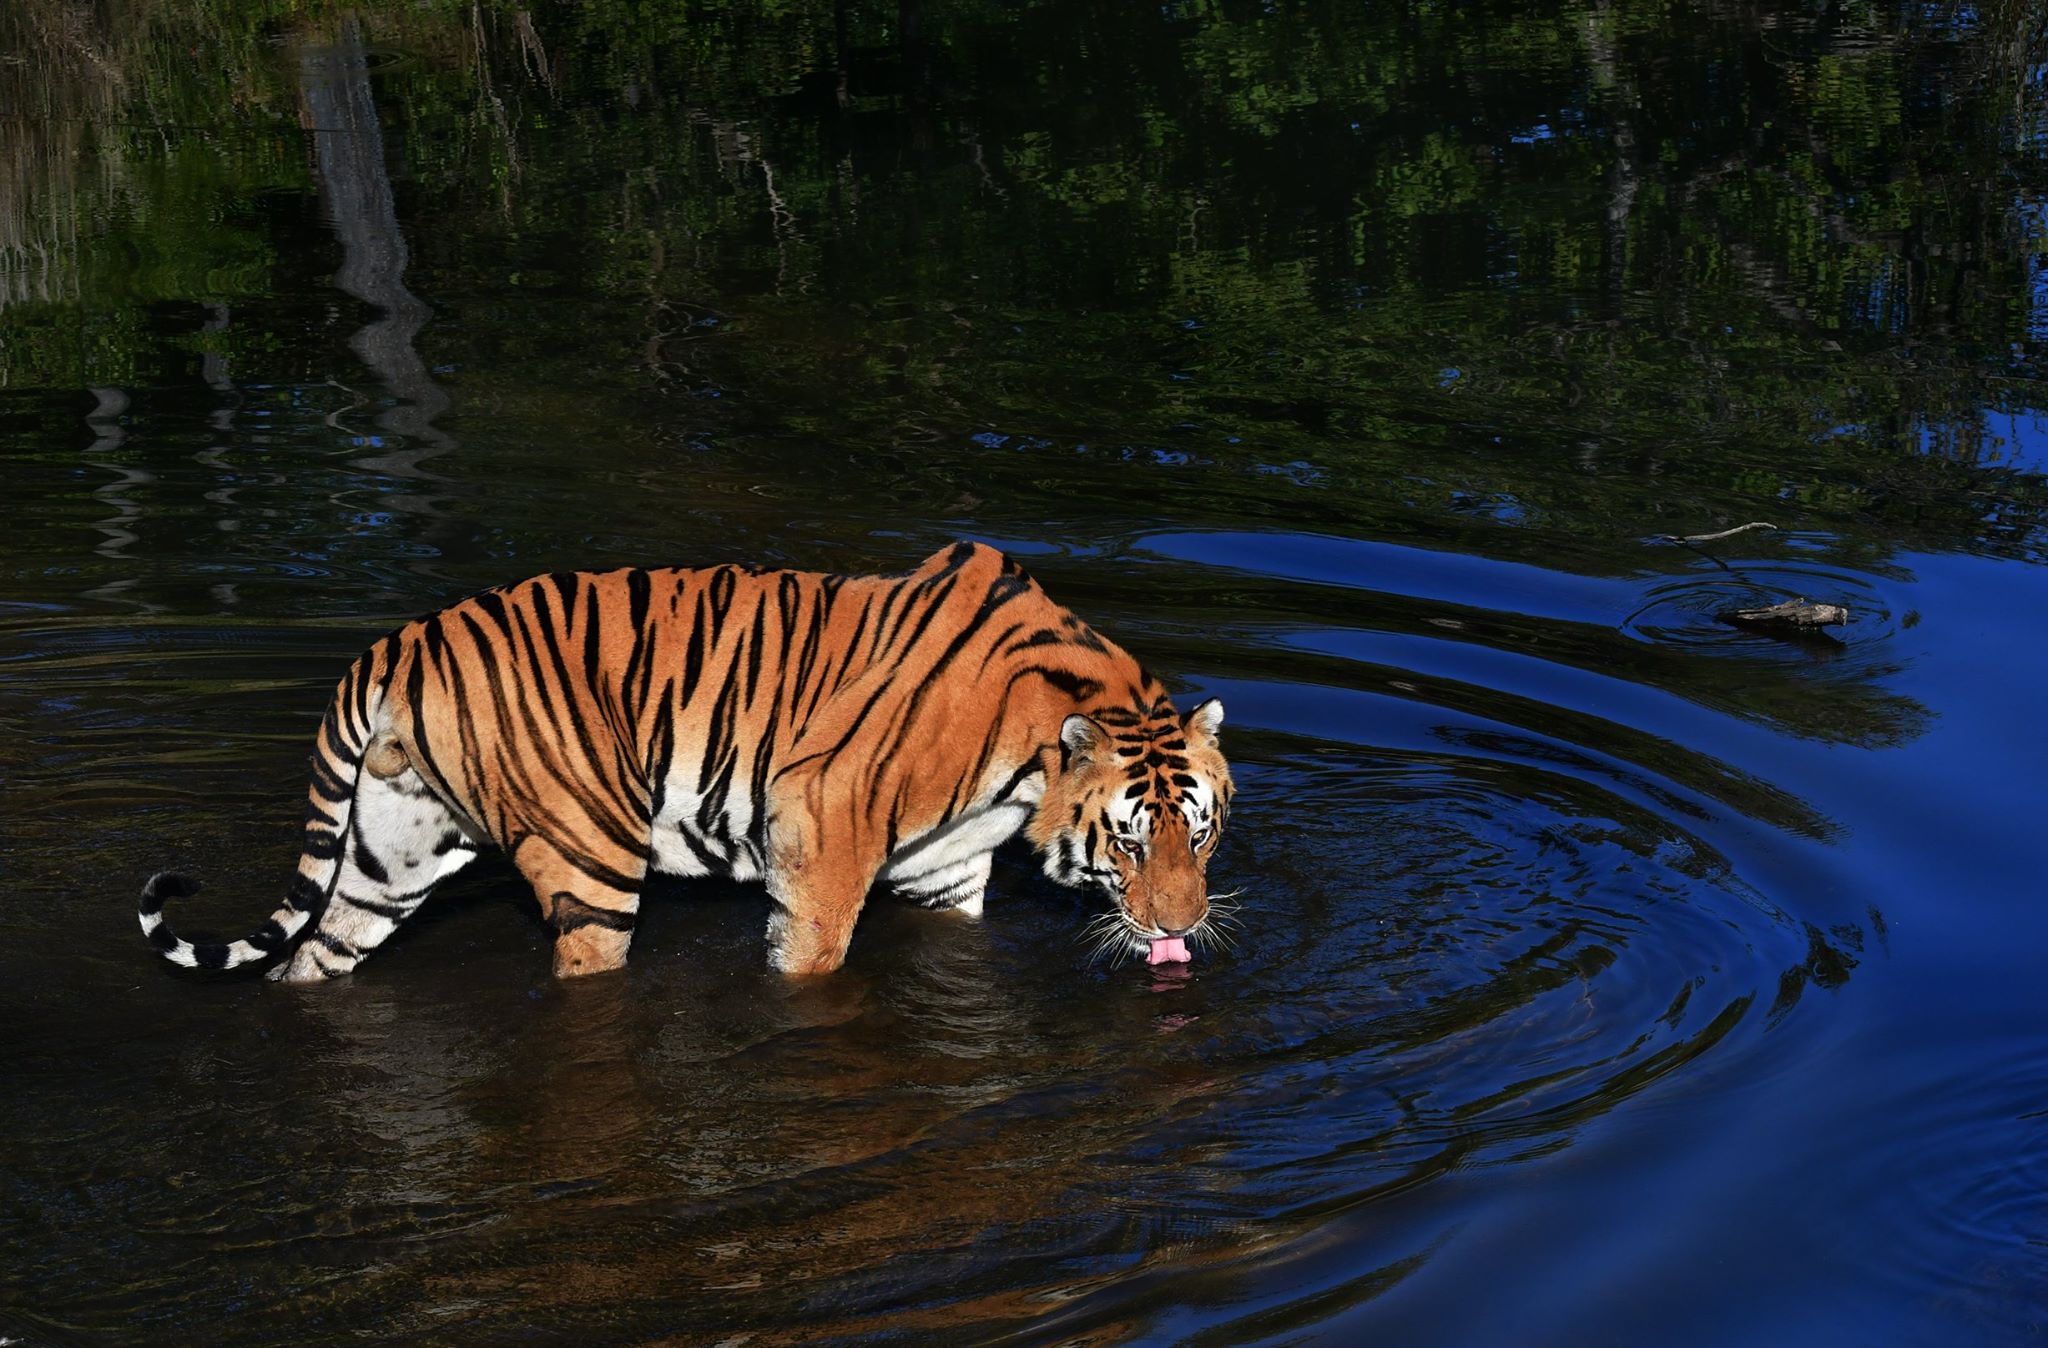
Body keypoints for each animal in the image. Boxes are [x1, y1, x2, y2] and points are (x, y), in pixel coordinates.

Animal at [137, 541, 1235, 981]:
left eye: (1201, 834)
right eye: (1127, 844)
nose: (1179, 928)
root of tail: (396, 646)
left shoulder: (946, 869)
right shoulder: (821, 822)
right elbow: (812, 956)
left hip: (386, 859)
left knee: (311, 961)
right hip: (589, 855)